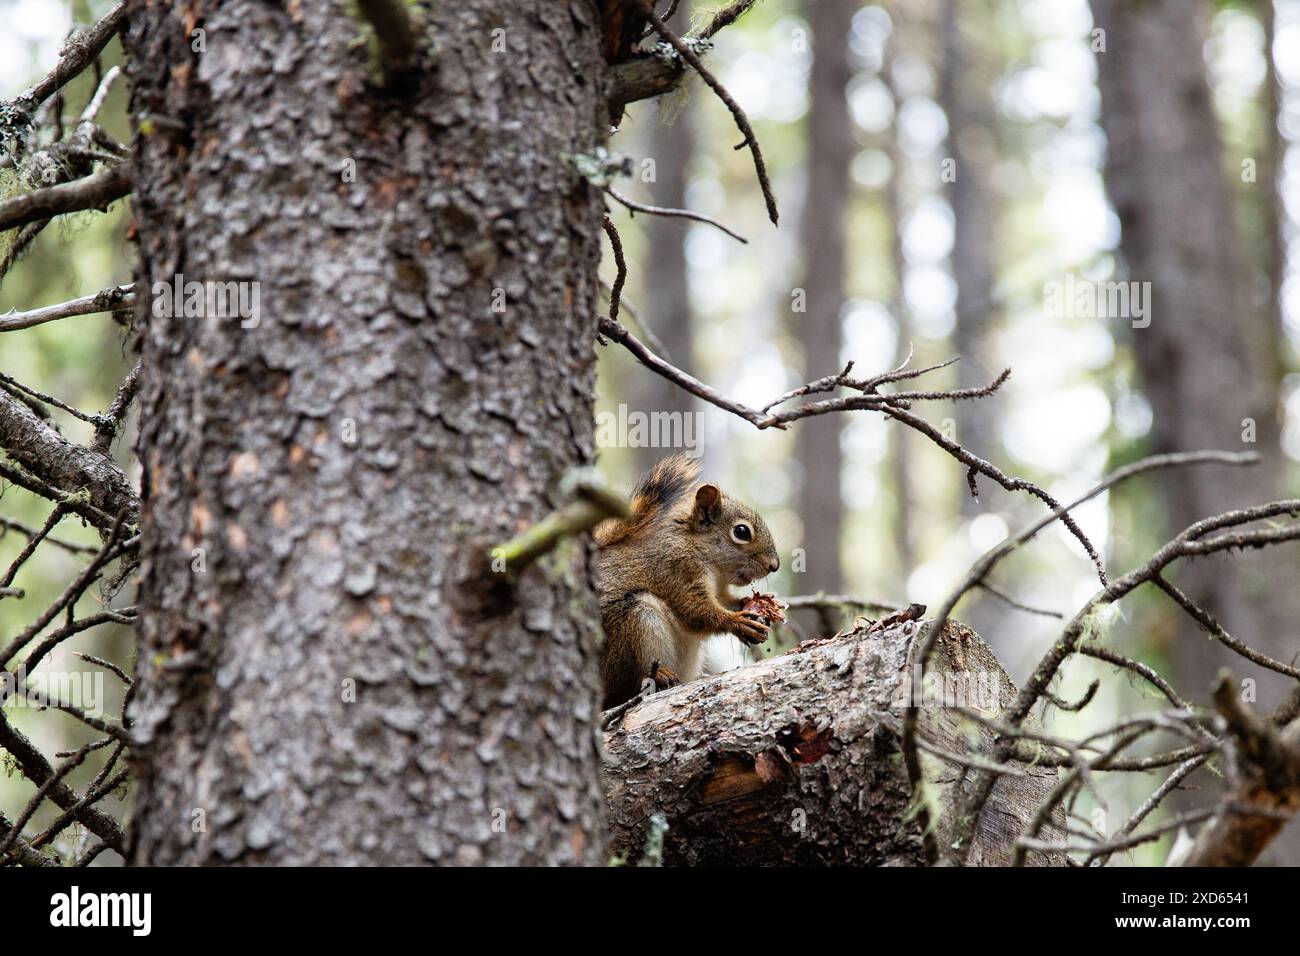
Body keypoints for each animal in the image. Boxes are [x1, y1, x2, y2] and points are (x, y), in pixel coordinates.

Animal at [595, 454, 780, 710]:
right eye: (742, 531)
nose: (775, 565)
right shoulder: (677, 569)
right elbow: (695, 611)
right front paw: (738, 622)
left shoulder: (719, 590)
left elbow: (724, 601)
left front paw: (750, 604)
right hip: (631, 625)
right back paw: (659, 675)